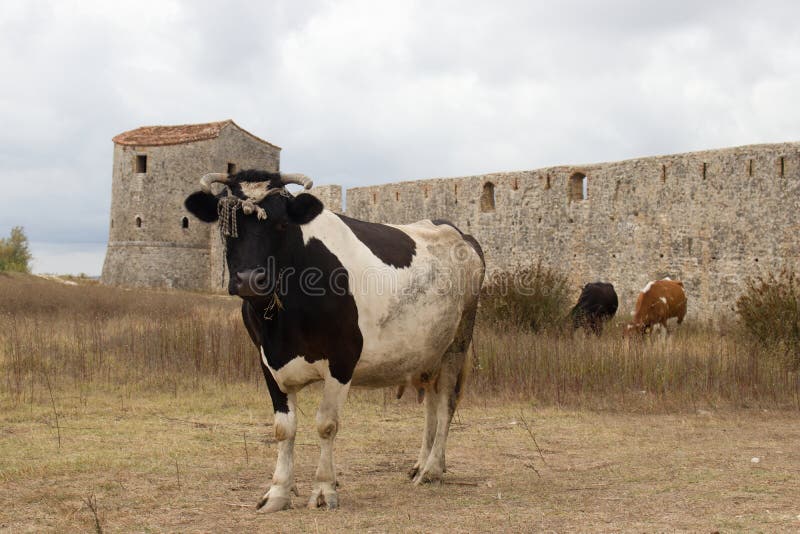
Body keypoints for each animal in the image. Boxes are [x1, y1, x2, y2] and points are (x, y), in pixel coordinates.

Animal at [184, 170, 485, 512]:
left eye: (281, 224)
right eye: (227, 226)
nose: (250, 280)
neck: (282, 325)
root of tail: (459, 233)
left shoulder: (343, 359)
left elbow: (326, 425)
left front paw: (324, 489)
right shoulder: (266, 360)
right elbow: (283, 429)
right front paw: (277, 493)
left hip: (456, 343)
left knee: (446, 401)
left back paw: (432, 470)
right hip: (428, 352)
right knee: (432, 404)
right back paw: (423, 464)